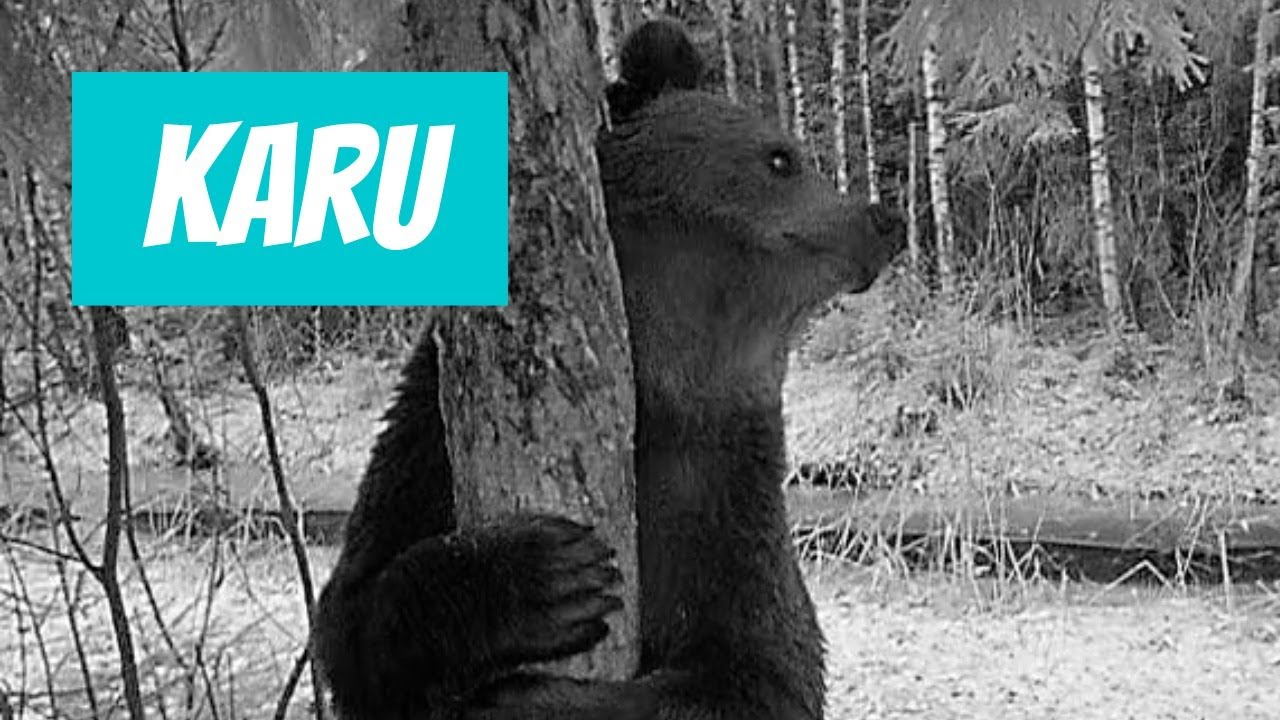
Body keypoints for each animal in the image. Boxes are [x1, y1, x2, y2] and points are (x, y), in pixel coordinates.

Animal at [312, 18, 903, 720]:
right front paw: (543, 573)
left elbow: (761, 667)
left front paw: (528, 696)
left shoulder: (722, 494)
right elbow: (356, 614)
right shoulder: (428, 432)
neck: (665, 377)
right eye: (782, 158)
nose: (883, 220)